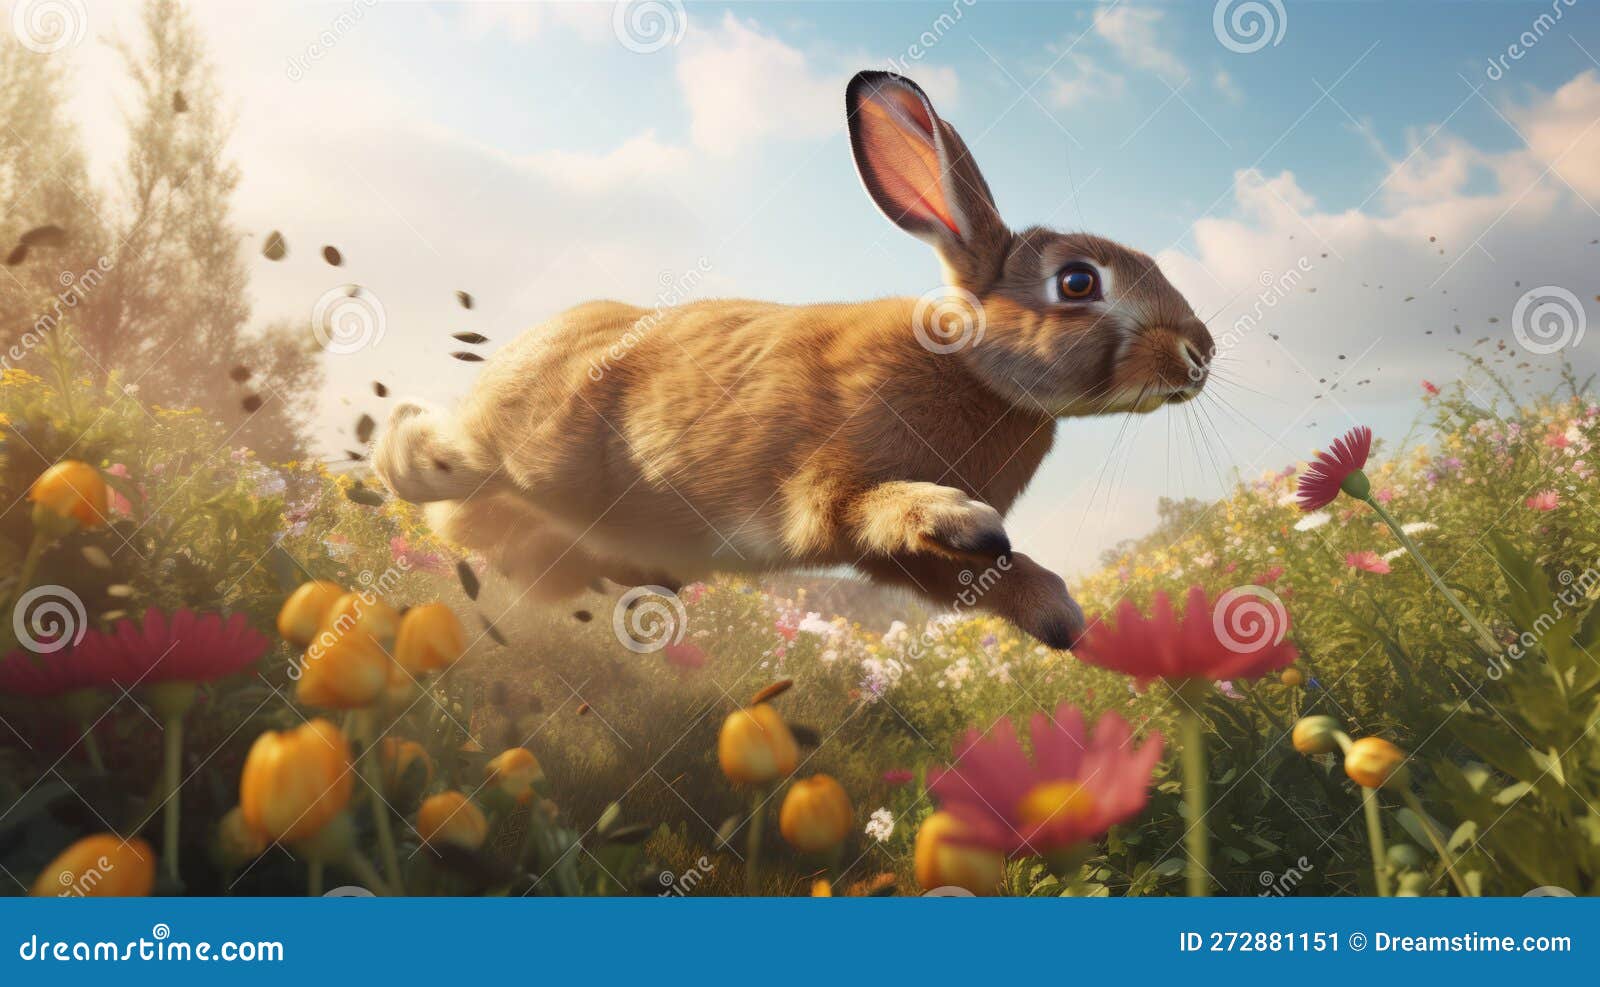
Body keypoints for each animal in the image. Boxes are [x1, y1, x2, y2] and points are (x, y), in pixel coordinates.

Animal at [373, 70, 1213, 650]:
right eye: (1077, 282)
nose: (1199, 351)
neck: (974, 365)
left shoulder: (900, 563)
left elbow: (982, 572)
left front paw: (1061, 617)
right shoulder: (832, 484)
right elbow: (884, 505)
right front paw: (963, 517)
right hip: (526, 451)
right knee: (424, 458)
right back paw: (404, 431)